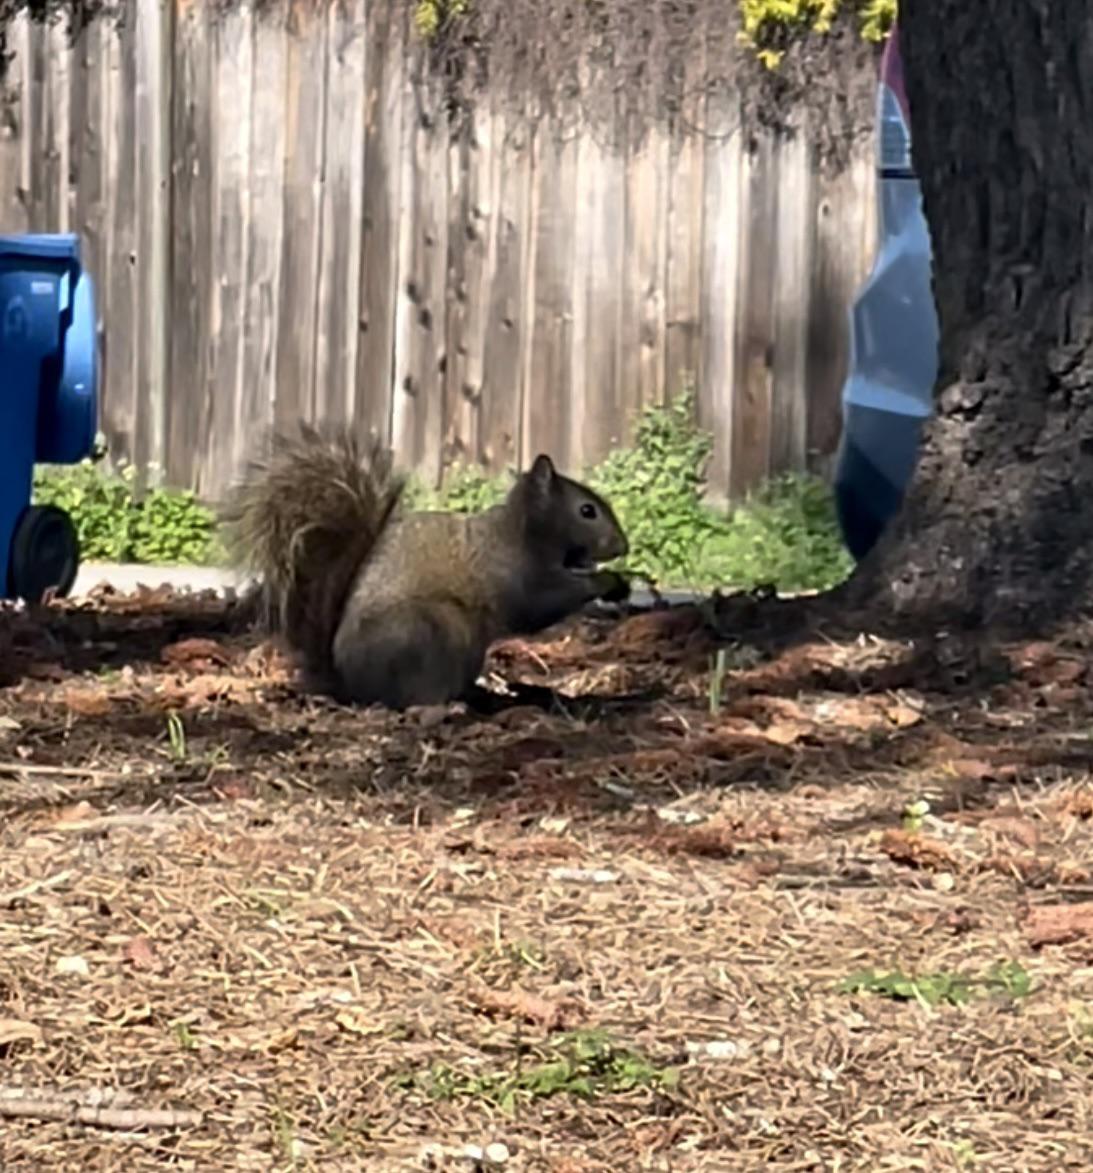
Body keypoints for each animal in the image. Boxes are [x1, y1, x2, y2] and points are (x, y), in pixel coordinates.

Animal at [221, 424, 630, 710]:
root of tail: (349, 684)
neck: (519, 530)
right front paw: (605, 581)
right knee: (416, 698)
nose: (623, 547)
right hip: (434, 631)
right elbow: (540, 604)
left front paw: (621, 584)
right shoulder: (514, 573)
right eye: (587, 511)